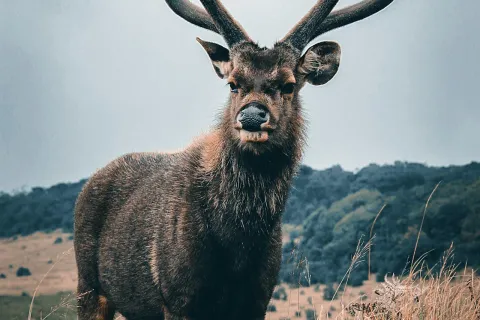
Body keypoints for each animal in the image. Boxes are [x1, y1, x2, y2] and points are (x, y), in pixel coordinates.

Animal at [75, 0, 396, 318]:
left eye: (289, 84)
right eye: (232, 83)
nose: (252, 116)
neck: (239, 243)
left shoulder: (258, 297)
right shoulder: (177, 296)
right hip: (88, 285)